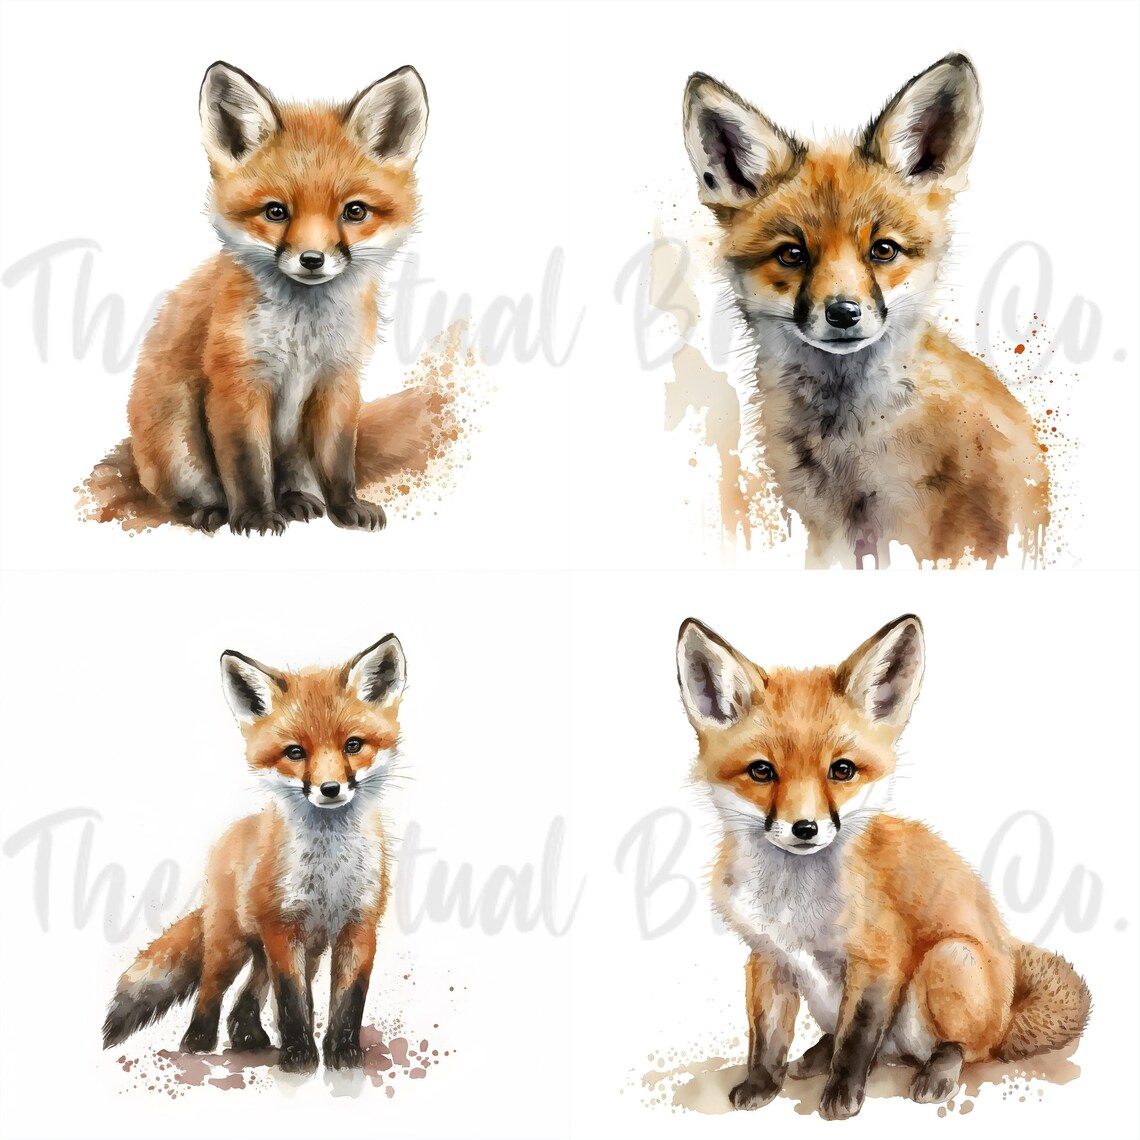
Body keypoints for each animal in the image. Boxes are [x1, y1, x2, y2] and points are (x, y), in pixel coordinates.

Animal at [88, 62, 432, 535]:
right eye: (275, 212)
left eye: (355, 211)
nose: (312, 260)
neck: (302, 336)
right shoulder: (237, 382)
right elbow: (247, 464)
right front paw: (254, 516)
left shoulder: (338, 381)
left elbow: (338, 460)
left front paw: (345, 507)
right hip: (177, 443)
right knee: (182, 495)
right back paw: (210, 511)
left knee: (292, 475)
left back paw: (296, 501)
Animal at [102, 635, 408, 1073]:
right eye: (295, 752)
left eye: (353, 745)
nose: (330, 788)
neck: (329, 872)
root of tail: (230, 834)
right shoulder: (284, 927)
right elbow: (293, 1001)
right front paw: (298, 1057)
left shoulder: (359, 925)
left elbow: (349, 1001)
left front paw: (344, 1055)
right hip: (233, 945)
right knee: (212, 989)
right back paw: (198, 1041)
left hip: (297, 950)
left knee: (247, 996)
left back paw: (248, 1037)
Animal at [675, 614, 1090, 1119]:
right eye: (761, 771)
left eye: (842, 770)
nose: (805, 828)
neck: (794, 907)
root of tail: (1009, 1013)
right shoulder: (768, 956)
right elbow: (767, 1037)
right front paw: (760, 1085)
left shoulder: (880, 957)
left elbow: (857, 1038)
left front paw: (842, 1097)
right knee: (847, 1040)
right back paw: (814, 1058)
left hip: (950, 958)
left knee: (964, 1049)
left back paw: (937, 1072)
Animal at [683, 54, 1049, 568]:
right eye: (792, 254)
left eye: (883, 250)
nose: (843, 313)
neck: (847, 448)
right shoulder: (828, 531)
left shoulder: (939, 533)